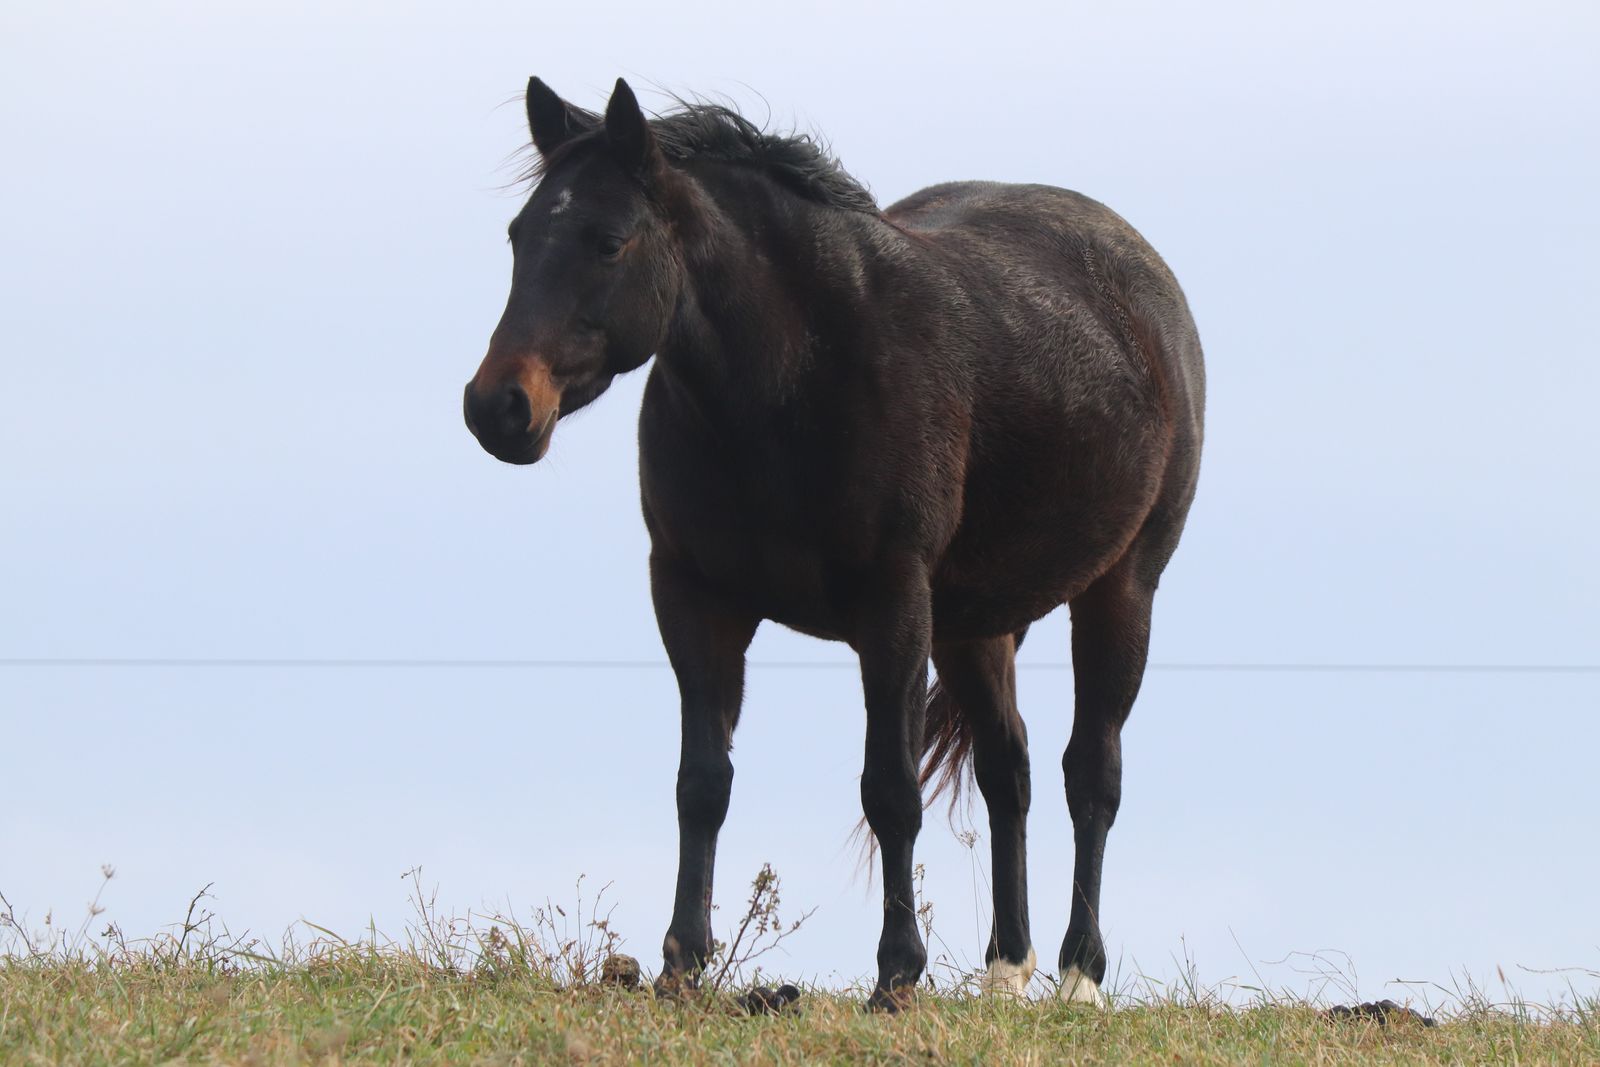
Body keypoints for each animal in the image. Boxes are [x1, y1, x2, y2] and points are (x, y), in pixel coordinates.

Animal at [463, 77, 1205, 1010]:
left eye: (607, 240)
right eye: (519, 236)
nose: (497, 407)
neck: (795, 372)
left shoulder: (893, 608)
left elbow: (889, 789)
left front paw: (895, 975)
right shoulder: (693, 598)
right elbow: (701, 783)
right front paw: (680, 965)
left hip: (1120, 591)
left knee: (1090, 775)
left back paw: (1079, 973)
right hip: (976, 623)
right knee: (1010, 769)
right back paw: (1006, 968)